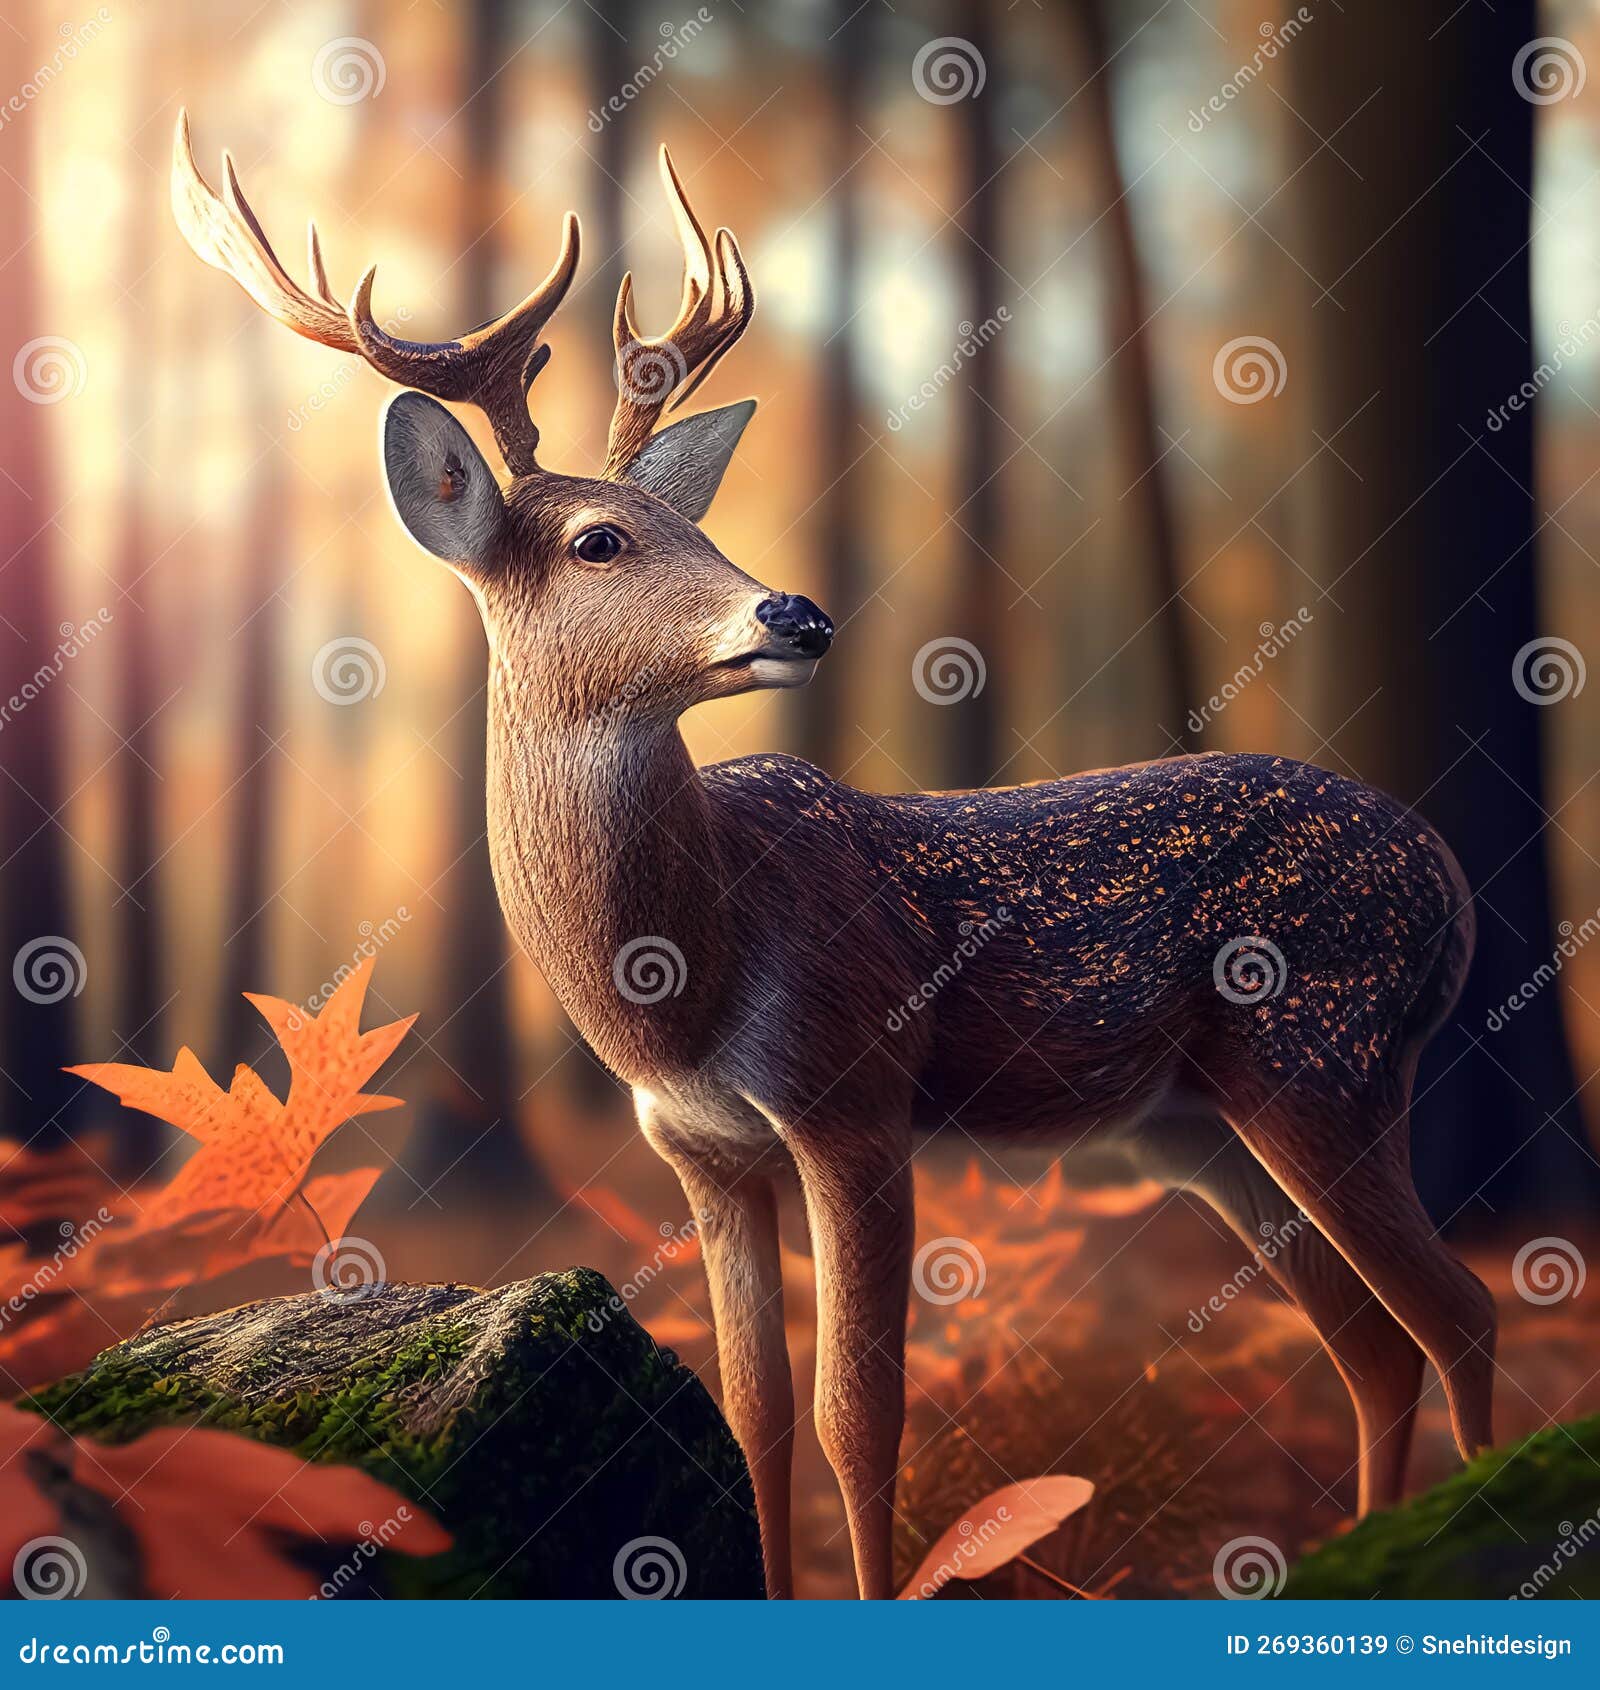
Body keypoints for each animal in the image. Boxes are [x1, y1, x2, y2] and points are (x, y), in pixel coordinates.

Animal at [172, 114, 1495, 1599]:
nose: (795, 611)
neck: (689, 986)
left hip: (1325, 1053)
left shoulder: (854, 1094)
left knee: (1459, 1311)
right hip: (1204, 1127)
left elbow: (860, 1410)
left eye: (693, 524)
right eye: (598, 539)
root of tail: (1451, 881)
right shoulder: (702, 1150)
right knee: (1377, 1343)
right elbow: (756, 1405)